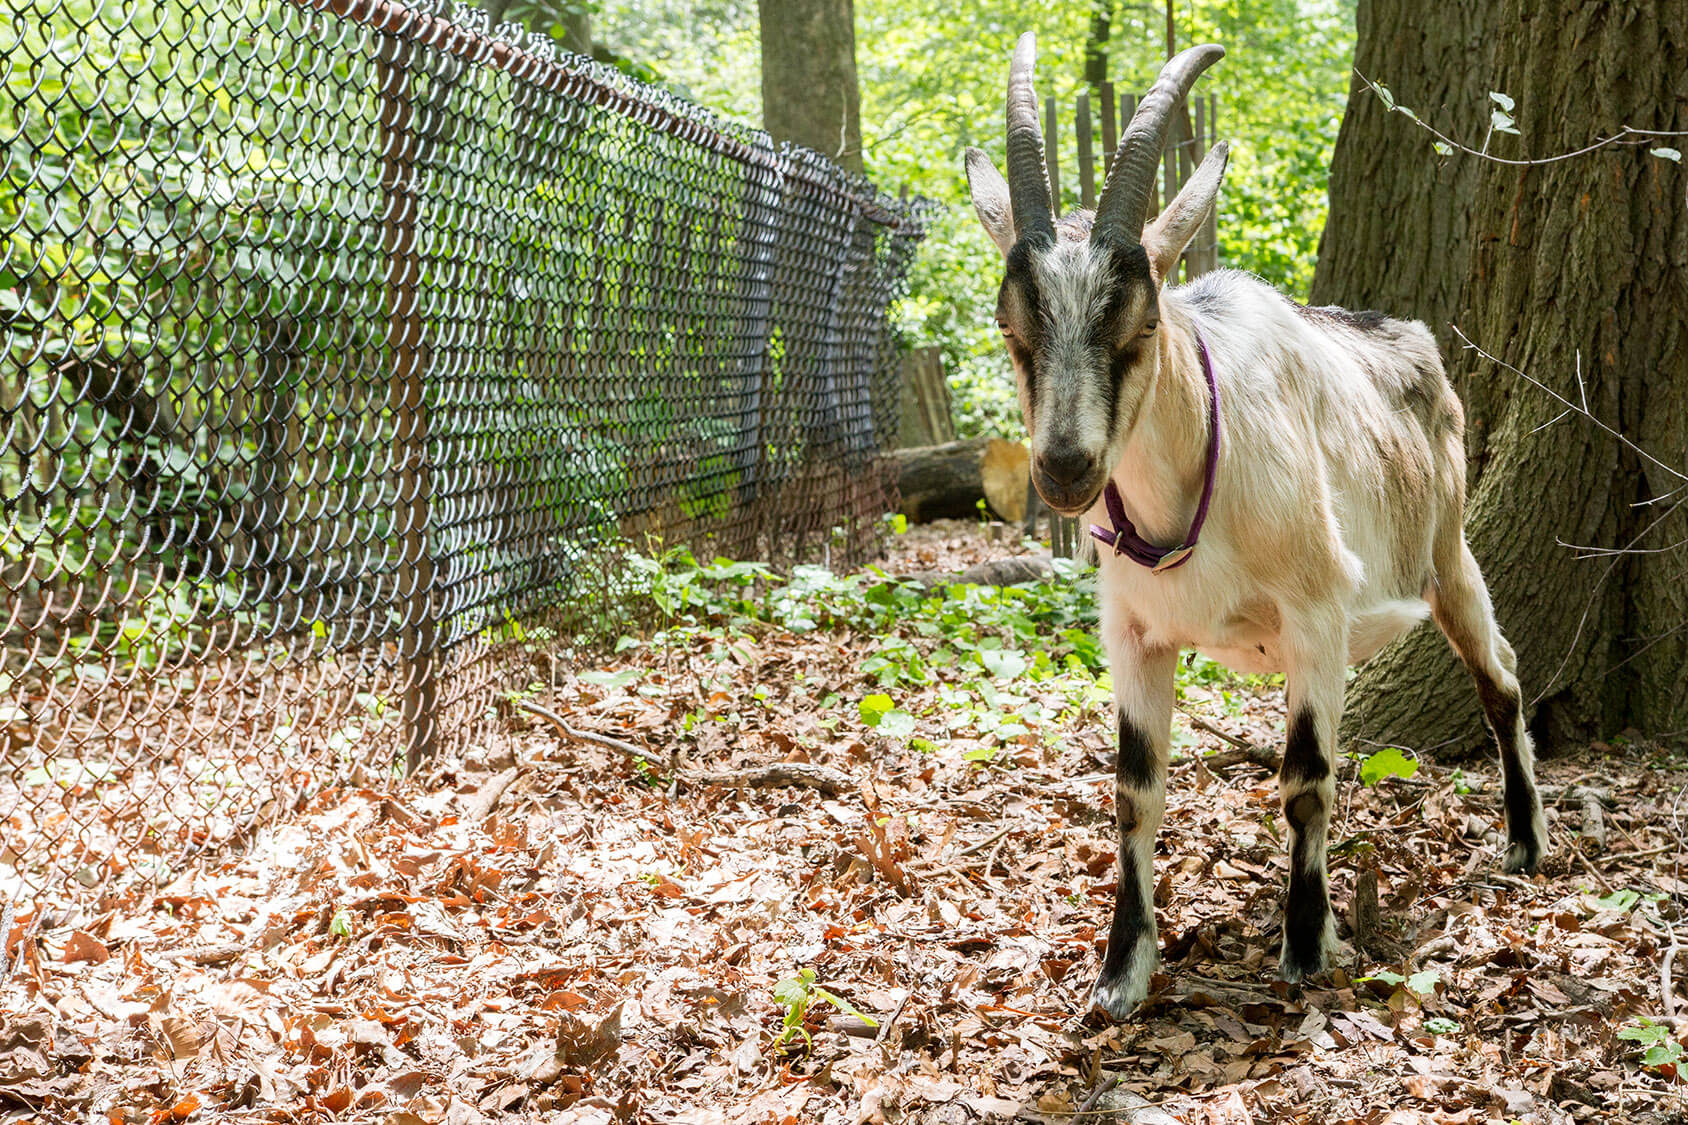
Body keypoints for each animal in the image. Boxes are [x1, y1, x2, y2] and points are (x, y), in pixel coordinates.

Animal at [964, 35, 1546, 1018]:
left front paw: (1306, 947)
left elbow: (1306, 780)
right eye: (1011, 329)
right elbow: (1135, 790)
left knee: (1500, 679)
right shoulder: (1133, 632)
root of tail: (1414, 340)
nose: (1066, 469)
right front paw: (1121, 972)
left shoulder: (1316, 610)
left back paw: (1525, 844)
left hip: (1446, 550)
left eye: (1141, 327)